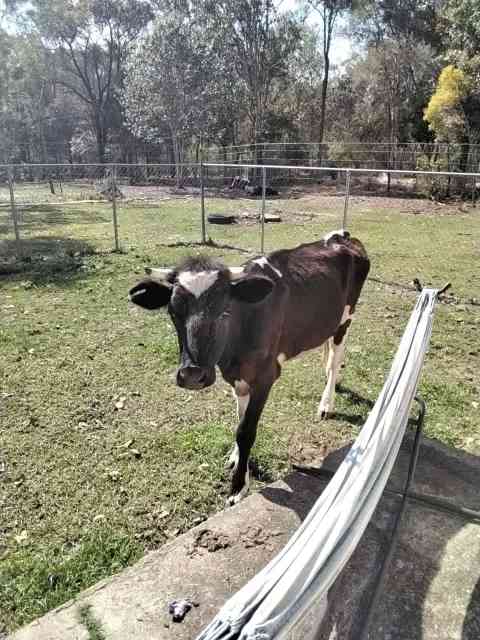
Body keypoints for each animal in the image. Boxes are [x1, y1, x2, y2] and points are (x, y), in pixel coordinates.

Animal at [129, 230, 370, 505]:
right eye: (173, 311)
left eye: (225, 309)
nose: (191, 375)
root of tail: (342, 236)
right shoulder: (237, 376)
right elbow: (239, 419)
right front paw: (236, 458)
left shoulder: (266, 375)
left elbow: (246, 430)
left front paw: (237, 487)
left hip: (346, 319)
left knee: (336, 359)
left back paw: (326, 403)